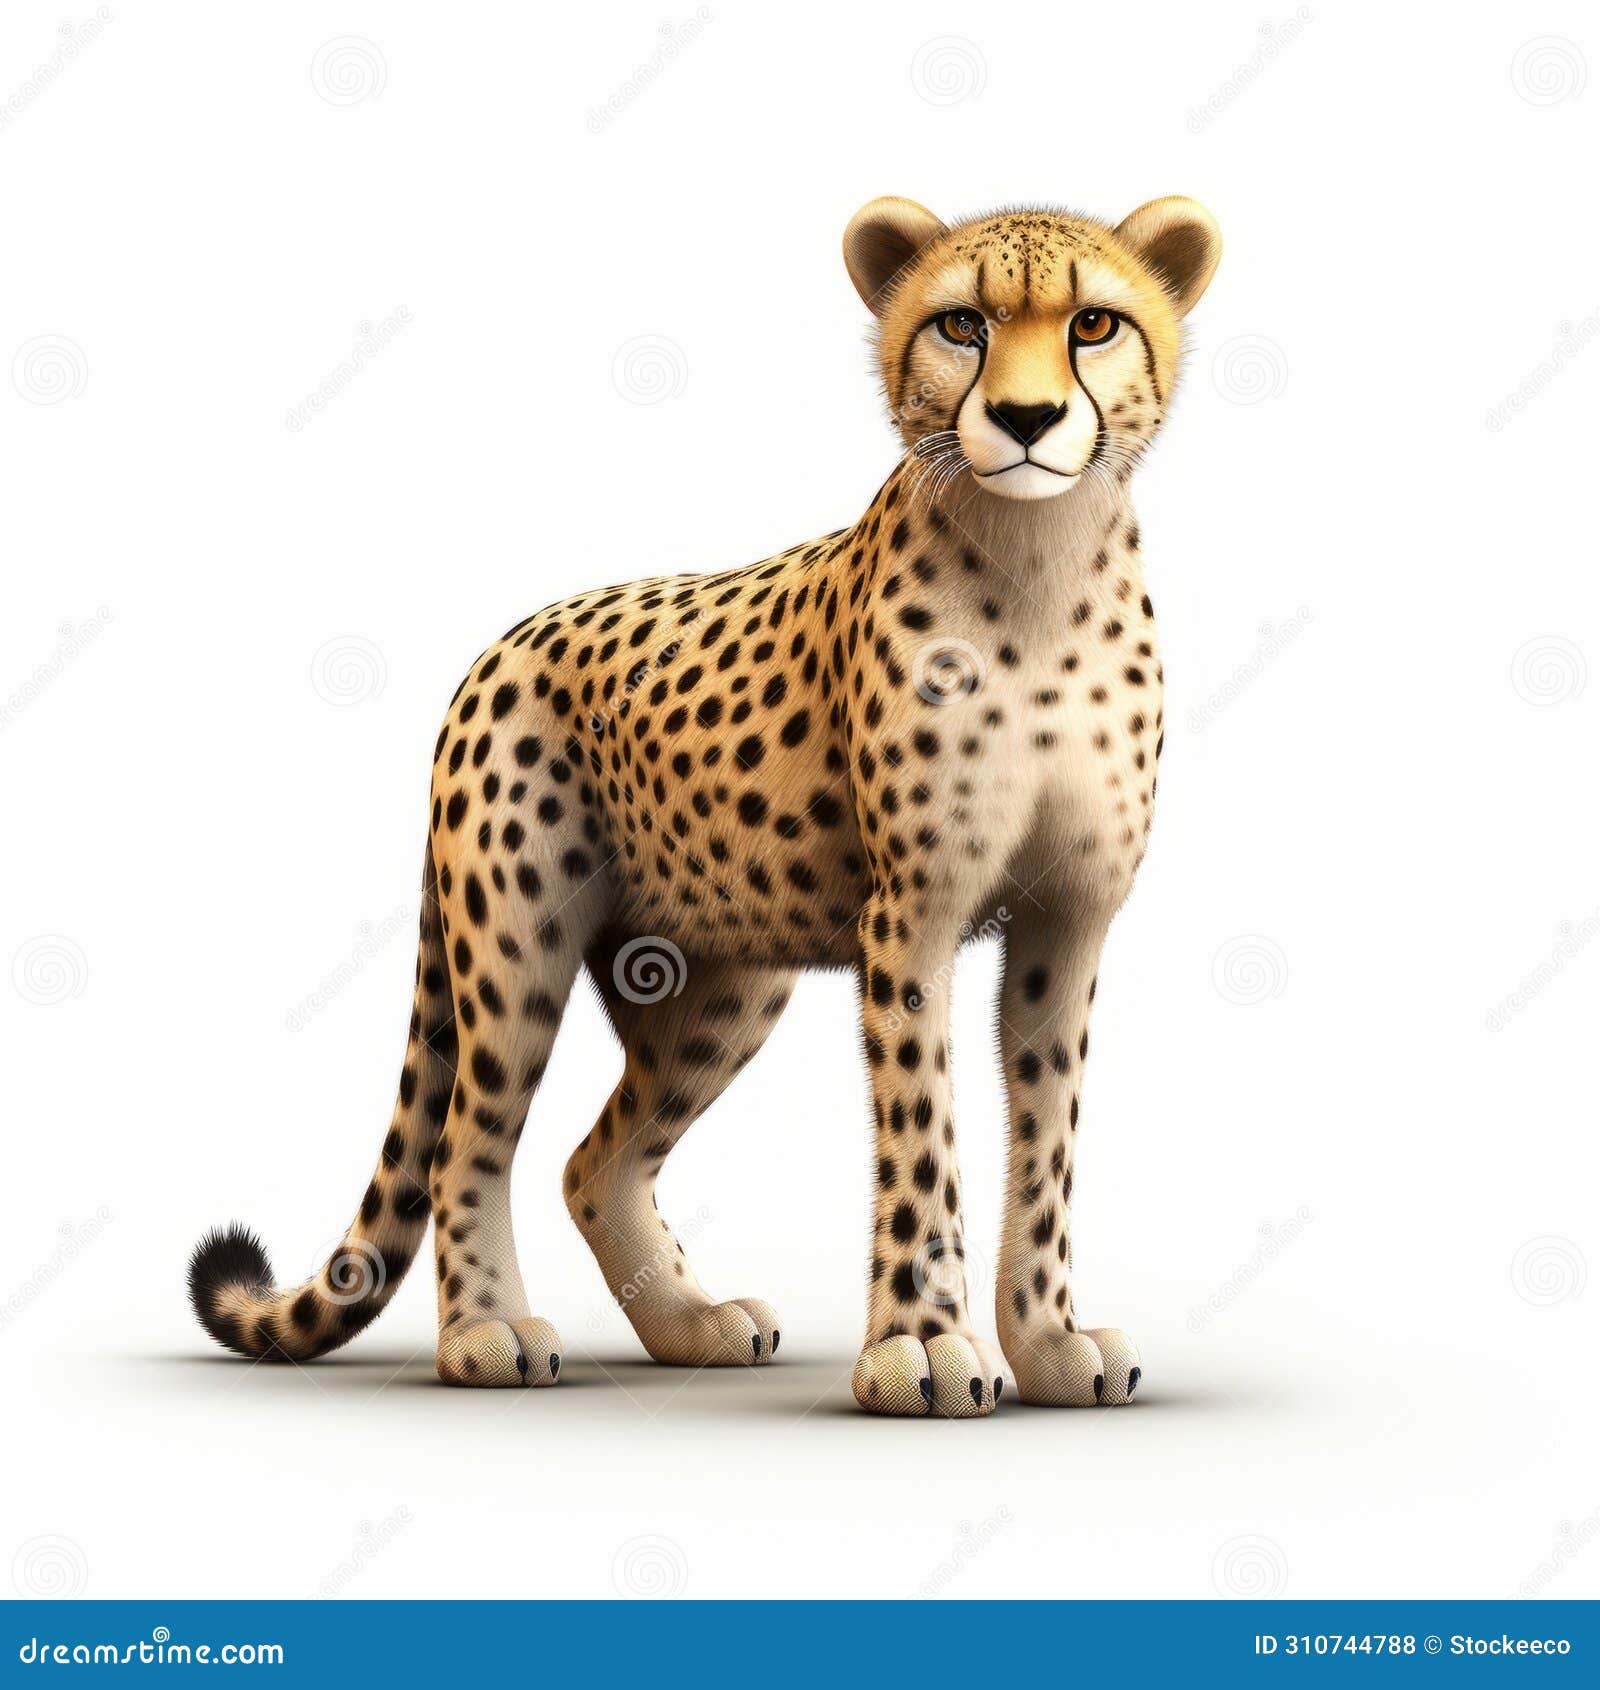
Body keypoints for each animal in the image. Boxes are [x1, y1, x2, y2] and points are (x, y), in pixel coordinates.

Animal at [189, 193, 1221, 1416]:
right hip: (515, 941)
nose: (1025, 417)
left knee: (595, 1161)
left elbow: (1047, 1136)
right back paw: (486, 1332)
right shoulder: (910, 917)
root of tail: (497, 648)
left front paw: (1050, 1340)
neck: (1040, 560)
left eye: (1094, 324)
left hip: (723, 978)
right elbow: (923, 1133)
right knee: (464, 1144)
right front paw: (921, 1346)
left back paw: (688, 1322)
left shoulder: (1069, 918)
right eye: (962, 324)